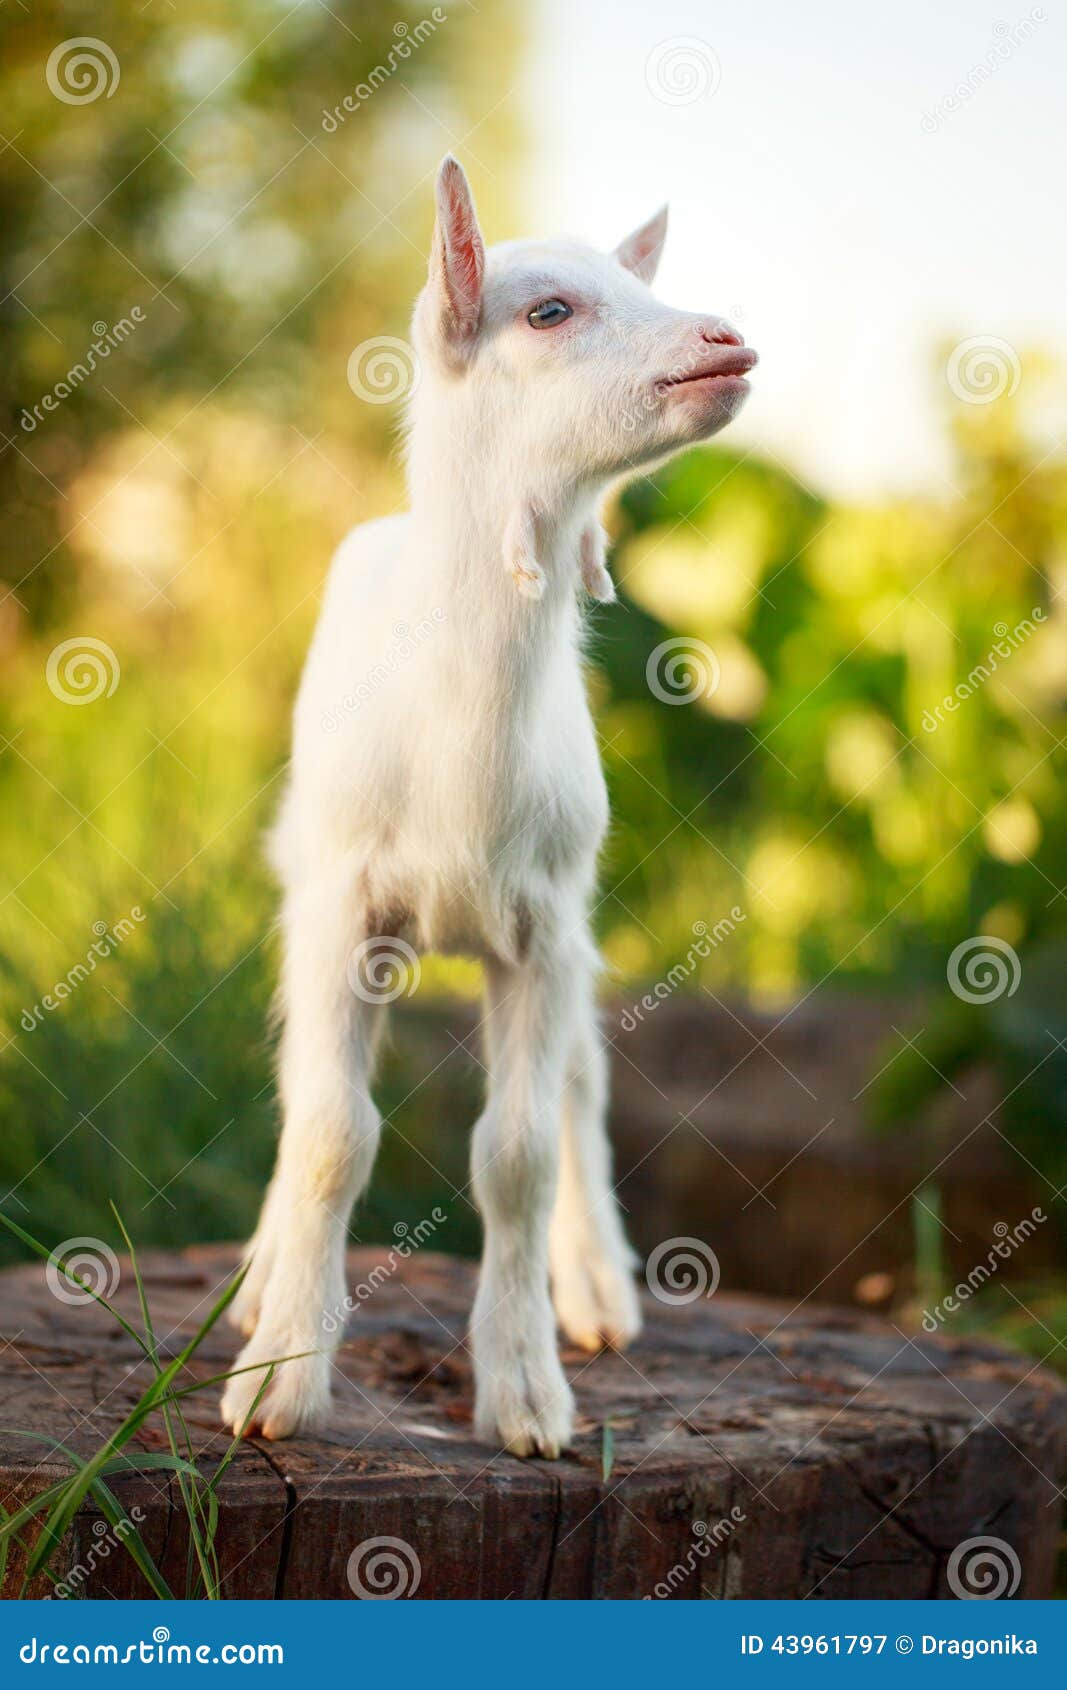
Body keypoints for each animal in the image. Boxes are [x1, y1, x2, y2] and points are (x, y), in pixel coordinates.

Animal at [220, 155, 757, 1457]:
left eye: (635, 280)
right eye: (548, 310)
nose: (723, 340)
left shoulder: (545, 927)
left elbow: (516, 1151)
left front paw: (524, 1395)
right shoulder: (341, 907)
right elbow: (329, 1128)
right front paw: (274, 1381)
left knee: (578, 1084)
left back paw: (598, 1287)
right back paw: (260, 1276)